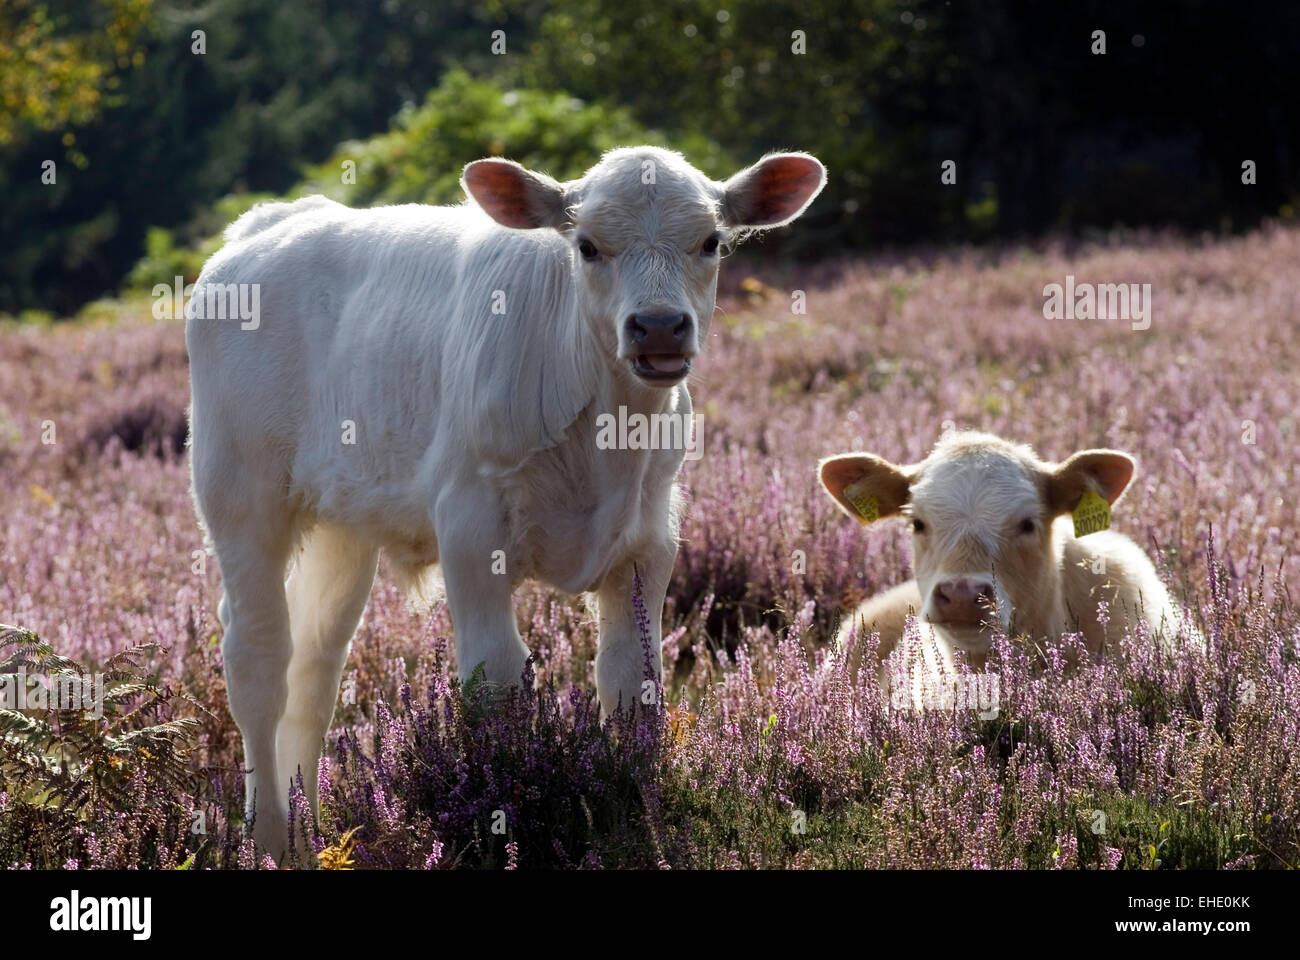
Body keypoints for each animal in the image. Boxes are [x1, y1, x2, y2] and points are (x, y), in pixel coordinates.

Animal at [186, 146, 826, 859]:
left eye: (711, 241)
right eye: (587, 246)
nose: (659, 326)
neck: (605, 437)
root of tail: (267, 222)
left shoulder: (648, 539)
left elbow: (634, 682)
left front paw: (641, 813)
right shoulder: (469, 527)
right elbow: (495, 681)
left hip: (342, 525)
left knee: (315, 666)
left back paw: (308, 834)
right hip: (240, 494)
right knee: (258, 658)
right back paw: (269, 837)